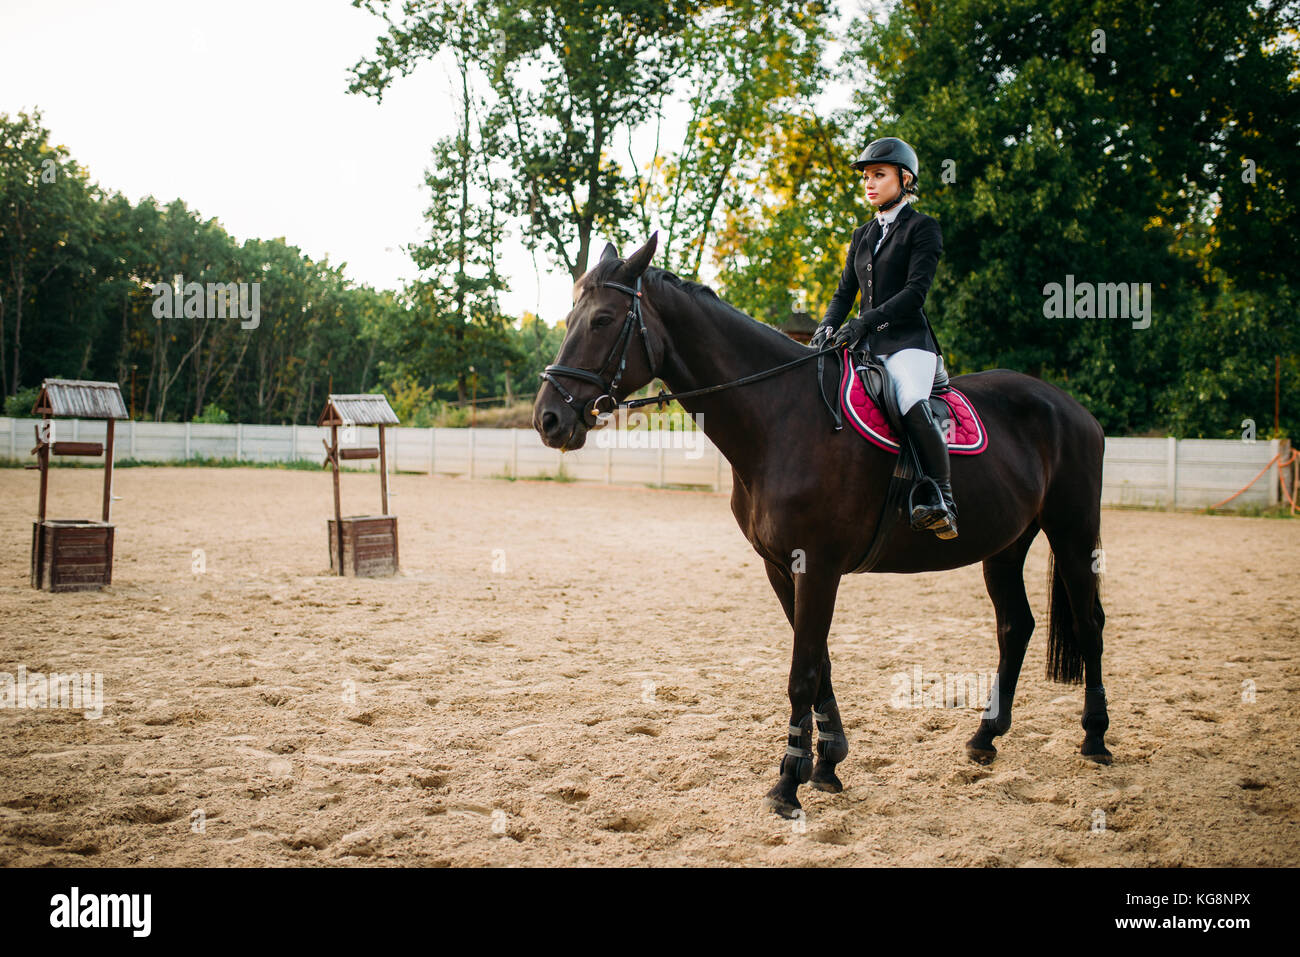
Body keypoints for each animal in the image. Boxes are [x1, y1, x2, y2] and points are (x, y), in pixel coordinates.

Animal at [532, 233, 1110, 818]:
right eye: (570, 317)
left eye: (603, 320)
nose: (548, 420)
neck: (782, 417)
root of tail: (1070, 406)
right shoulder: (780, 566)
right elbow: (820, 662)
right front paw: (828, 762)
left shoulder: (817, 565)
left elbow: (802, 673)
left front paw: (788, 781)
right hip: (1005, 545)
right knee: (1016, 626)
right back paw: (985, 737)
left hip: (1072, 532)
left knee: (1089, 624)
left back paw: (1095, 738)